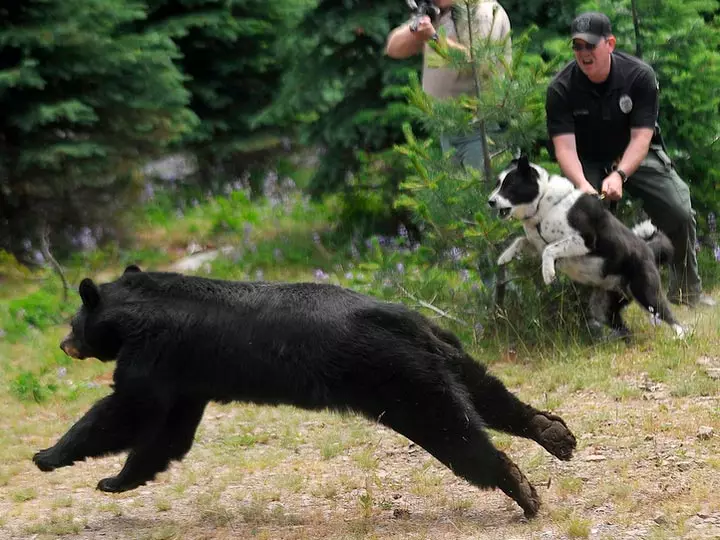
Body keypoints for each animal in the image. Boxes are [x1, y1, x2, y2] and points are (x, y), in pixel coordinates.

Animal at [33, 266, 576, 520]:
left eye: (73, 321)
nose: (63, 343)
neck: (139, 309)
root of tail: (406, 322)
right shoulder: (191, 379)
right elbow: (169, 435)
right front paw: (119, 480)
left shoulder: (157, 357)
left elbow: (127, 410)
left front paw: (52, 456)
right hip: (446, 354)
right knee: (487, 394)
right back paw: (552, 433)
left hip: (402, 381)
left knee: (457, 435)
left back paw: (521, 489)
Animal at [486, 155, 684, 338]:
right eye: (497, 184)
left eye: (510, 185)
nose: (490, 201)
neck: (544, 204)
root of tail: (649, 250)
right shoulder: (537, 243)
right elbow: (521, 241)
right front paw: (505, 256)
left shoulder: (586, 239)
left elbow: (550, 249)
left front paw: (548, 273)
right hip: (603, 306)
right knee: (622, 327)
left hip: (646, 292)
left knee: (674, 320)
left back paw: (680, 338)